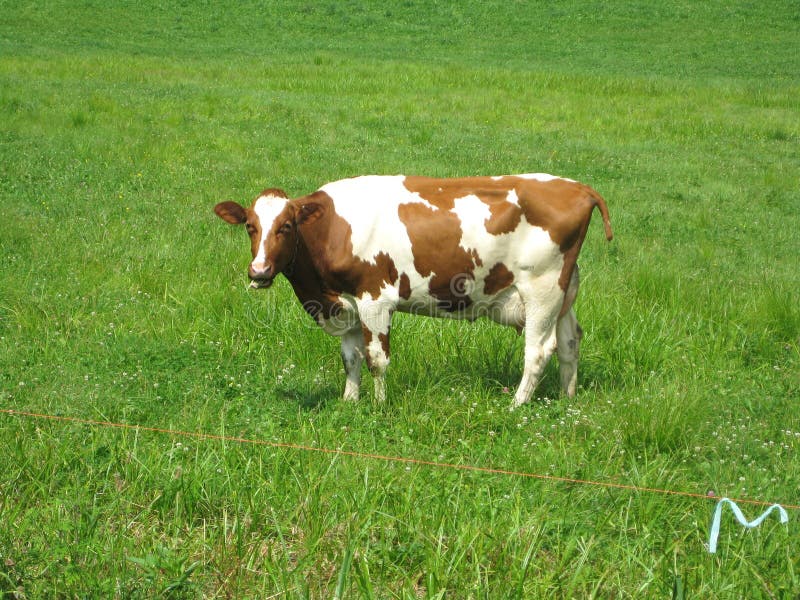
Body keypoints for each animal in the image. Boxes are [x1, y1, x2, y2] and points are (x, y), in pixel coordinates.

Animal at [214, 174, 612, 408]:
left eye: (286, 226)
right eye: (250, 226)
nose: (259, 271)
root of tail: (578, 187)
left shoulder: (375, 298)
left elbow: (376, 359)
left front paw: (378, 407)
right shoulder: (346, 304)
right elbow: (350, 358)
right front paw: (349, 402)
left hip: (541, 287)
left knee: (539, 350)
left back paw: (516, 405)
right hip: (564, 291)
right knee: (570, 341)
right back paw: (567, 399)